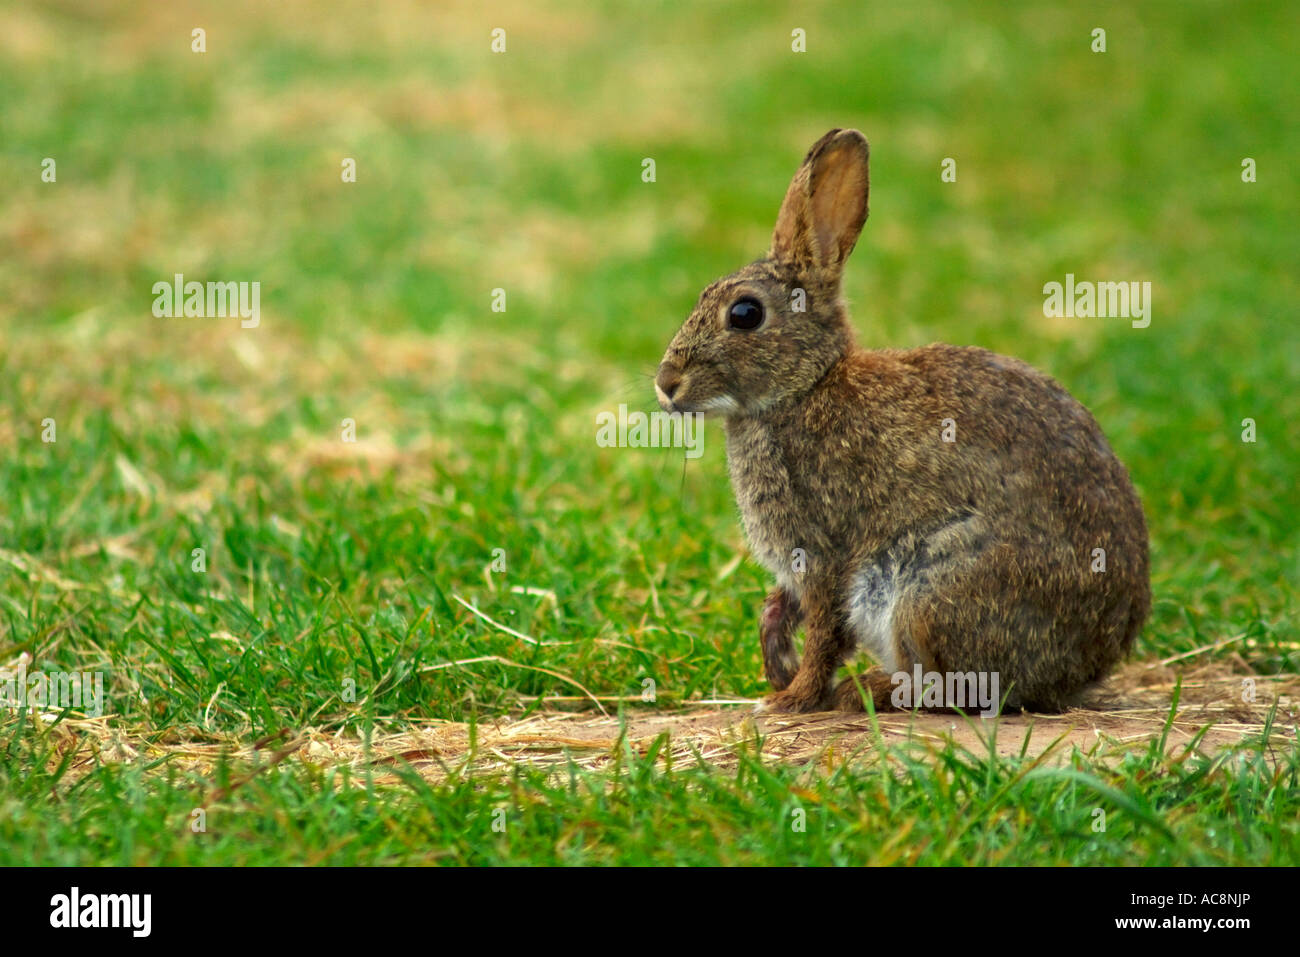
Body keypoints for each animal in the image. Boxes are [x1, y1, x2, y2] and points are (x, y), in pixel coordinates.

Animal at [654, 128, 1150, 714]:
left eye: (745, 314)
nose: (665, 384)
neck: (807, 386)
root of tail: (1087, 665)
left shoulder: (823, 551)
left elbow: (825, 631)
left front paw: (792, 698)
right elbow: (785, 608)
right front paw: (776, 662)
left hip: (929, 591)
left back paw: (866, 690)